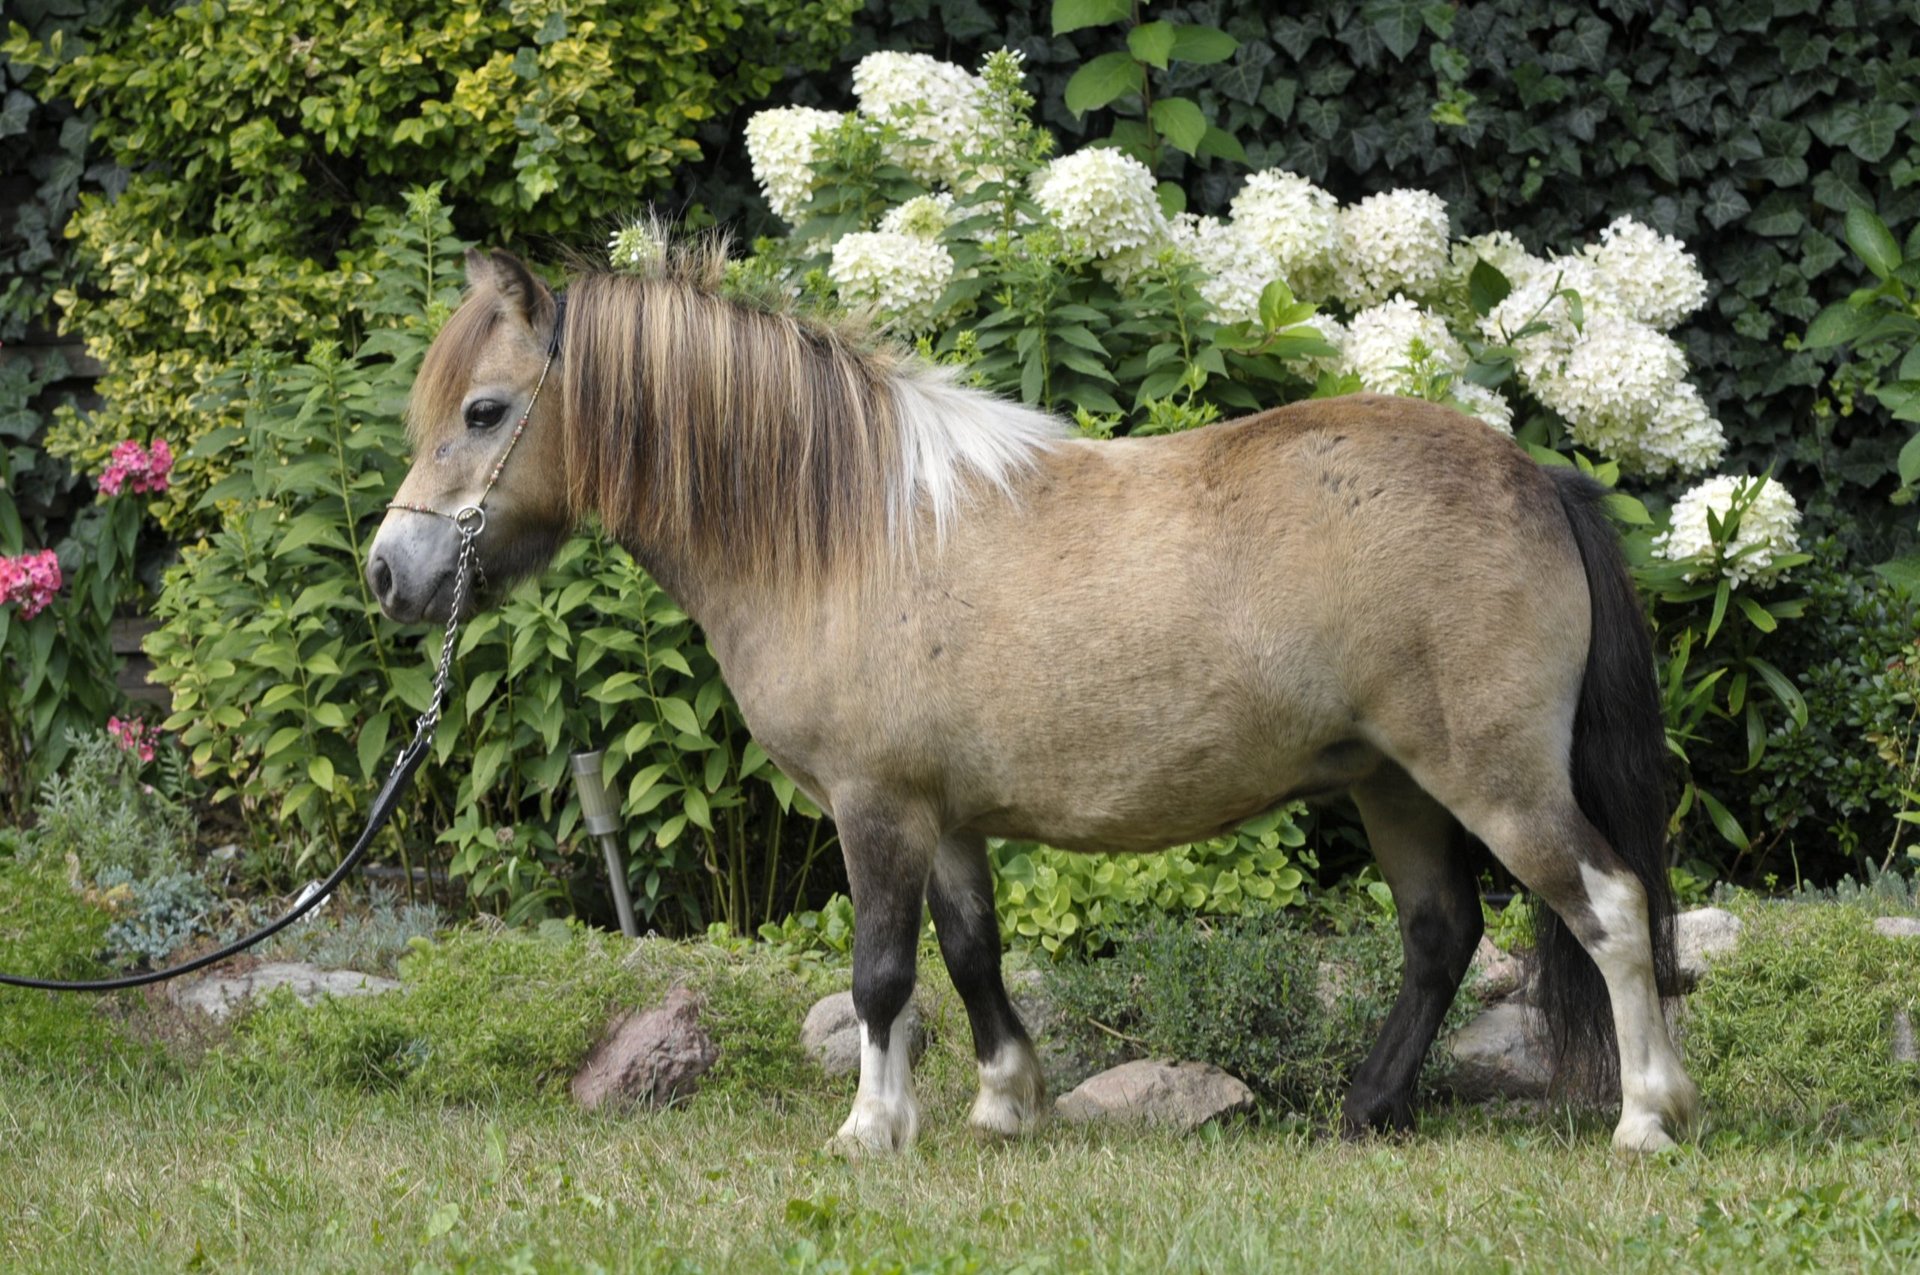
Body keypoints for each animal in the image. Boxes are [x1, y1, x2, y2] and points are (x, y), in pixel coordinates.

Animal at [365, 242, 1699, 1155]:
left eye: (484, 411)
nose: (390, 574)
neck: (844, 533)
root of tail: (1535, 475)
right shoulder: (946, 817)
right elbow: (970, 953)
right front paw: (1004, 1105)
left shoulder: (877, 809)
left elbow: (881, 974)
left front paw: (871, 1131)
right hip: (1395, 783)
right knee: (1439, 936)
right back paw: (1369, 1109)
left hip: (1492, 777)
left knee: (1611, 908)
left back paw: (1647, 1116)